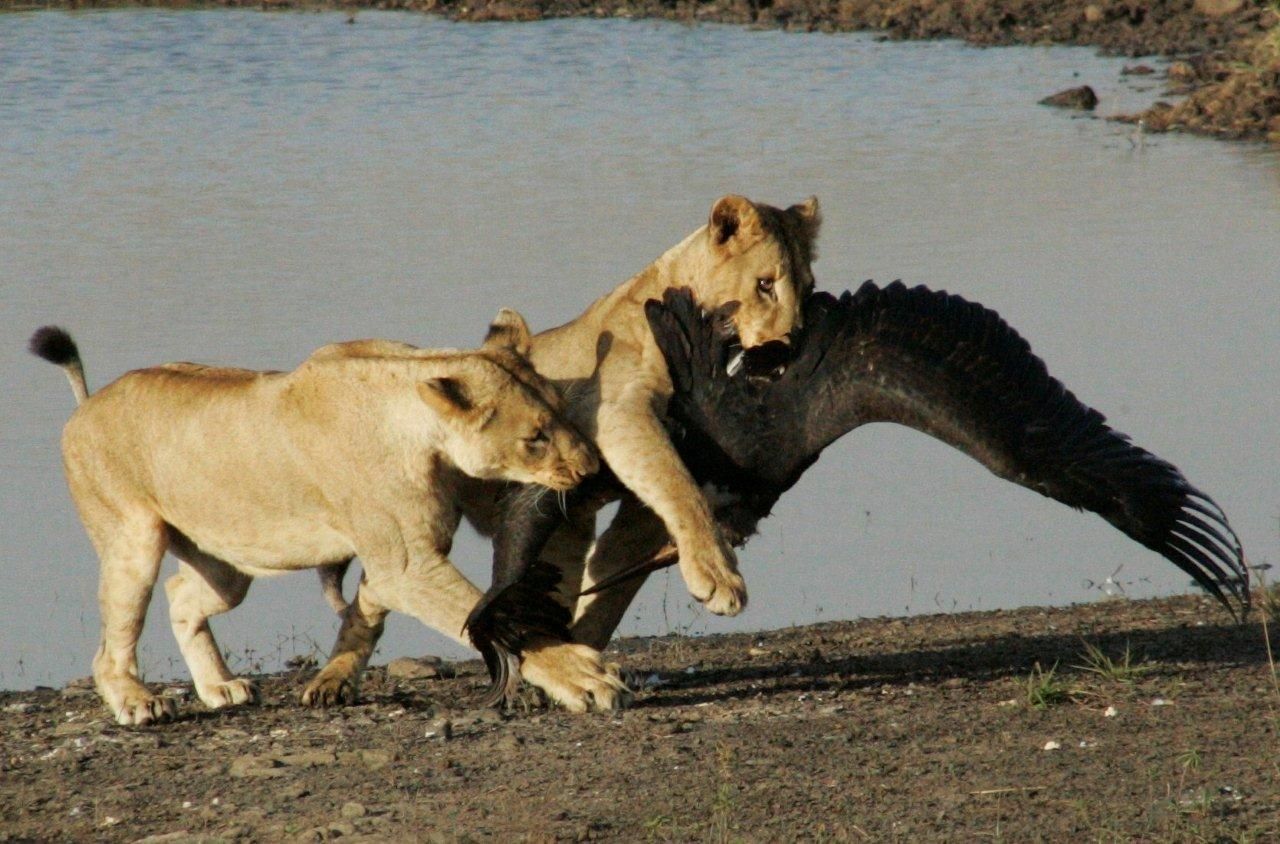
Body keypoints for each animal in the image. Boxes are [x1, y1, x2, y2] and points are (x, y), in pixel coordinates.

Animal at [30, 312, 598, 726]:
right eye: (535, 437)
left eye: (564, 409)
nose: (592, 468)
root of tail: (88, 404)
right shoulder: (407, 565)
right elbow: (491, 618)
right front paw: (582, 678)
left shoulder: (403, 555)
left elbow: (363, 615)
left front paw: (333, 680)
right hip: (134, 541)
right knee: (113, 641)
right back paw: (137, 702)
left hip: (226, 566)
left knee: (181, 596)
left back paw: (220, 687)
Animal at [322, 194, 821, 711]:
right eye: (765, 284)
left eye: (809, 288)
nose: (790, 346)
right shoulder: (620, 415)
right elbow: (680, 488)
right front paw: (720, 578)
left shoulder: (635, 504)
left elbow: (615, 579)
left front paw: (578, 658)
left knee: (372, 590)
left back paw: (330, 681)